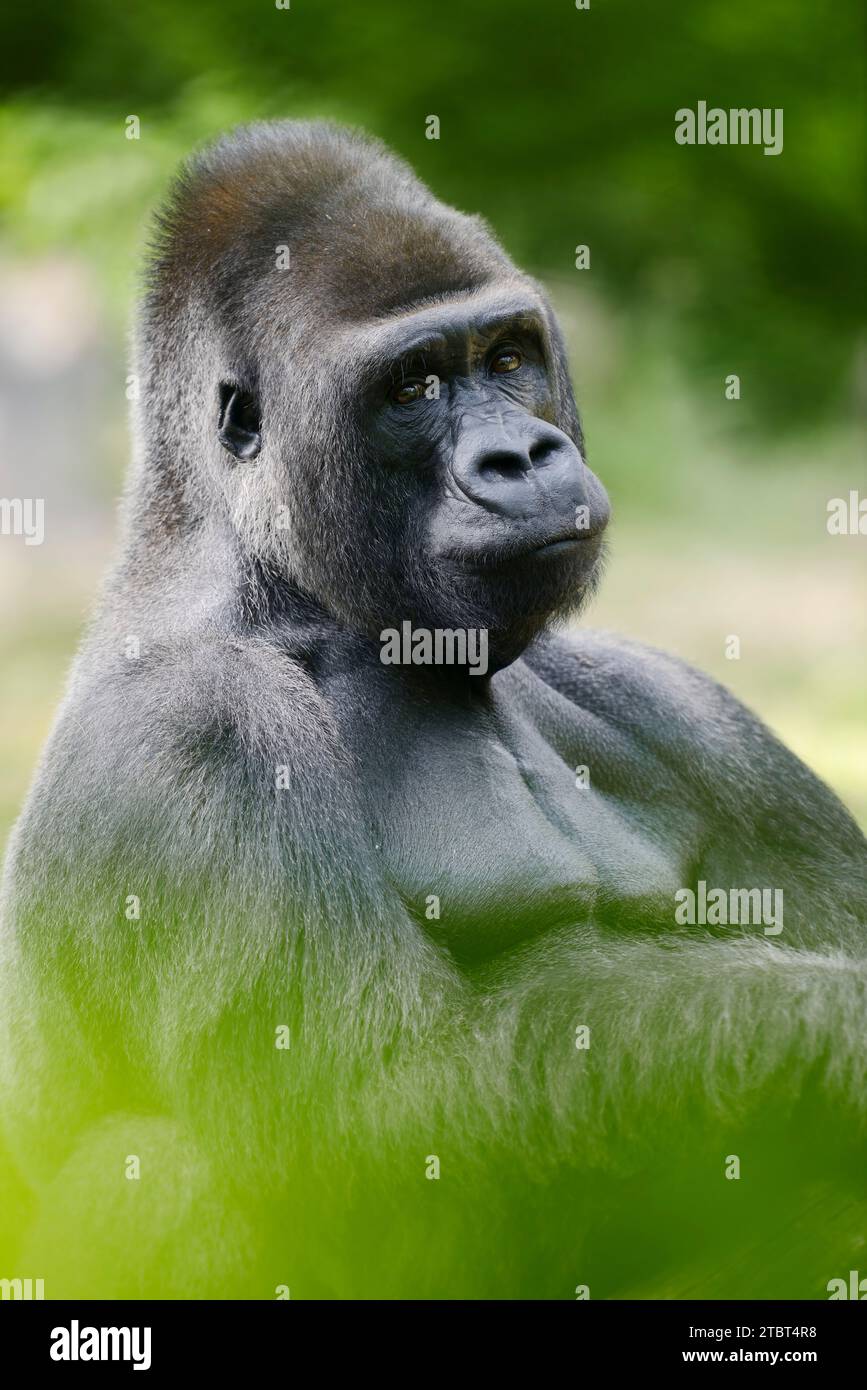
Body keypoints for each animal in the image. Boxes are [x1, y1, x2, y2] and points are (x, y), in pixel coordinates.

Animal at [0, 121, 865, 1300]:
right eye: (410, 387)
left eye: (506, 359)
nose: (524, 456)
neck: (293, 593)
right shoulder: (196, 730)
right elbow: (365, 1123)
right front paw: (843, 1036)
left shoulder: (691, 712)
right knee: (161, 1169)